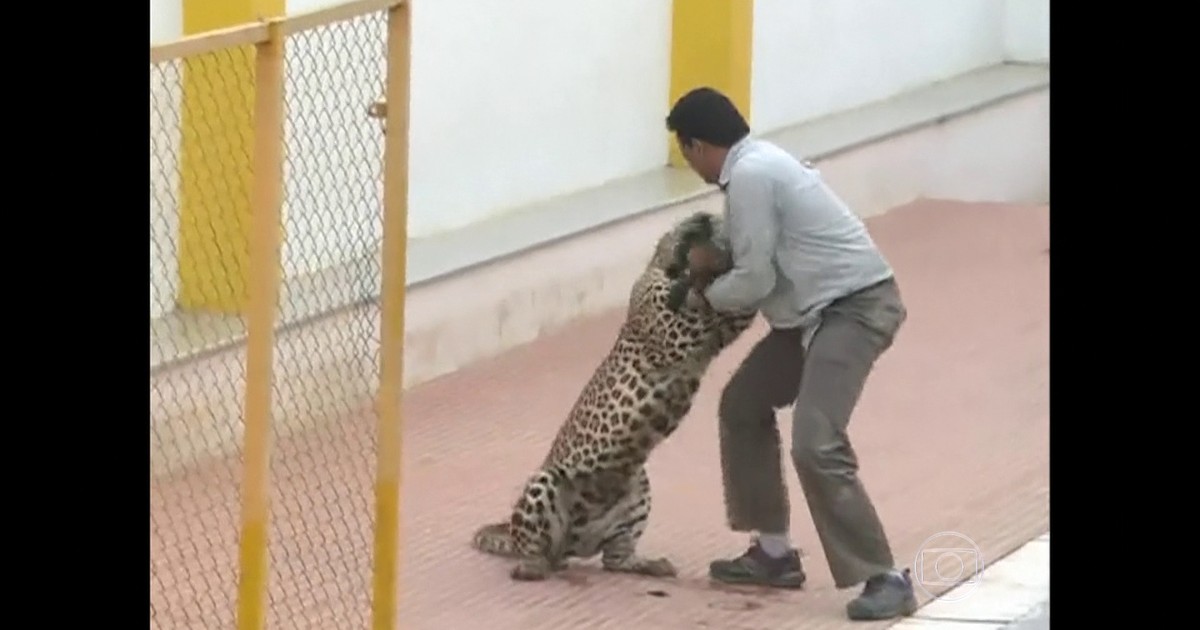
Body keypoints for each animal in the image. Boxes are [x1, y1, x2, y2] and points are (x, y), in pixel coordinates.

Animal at [470, 210, 758, 582]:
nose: (706, 218)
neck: (669, 268)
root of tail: (575, 545)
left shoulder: (721, 330)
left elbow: (734, 310)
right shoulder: (675, 329)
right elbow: (704, 303)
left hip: (638, 494)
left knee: (614, 559)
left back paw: (652, 564)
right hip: (544, 483)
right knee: (536, 550)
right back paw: (531, 567)